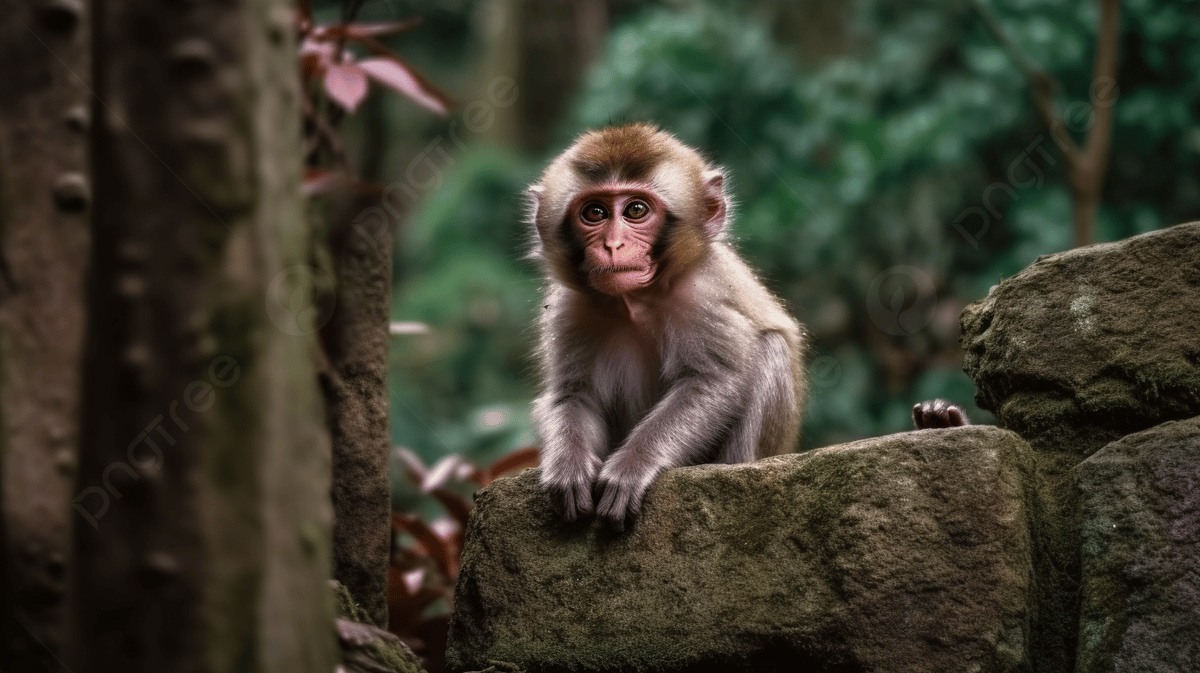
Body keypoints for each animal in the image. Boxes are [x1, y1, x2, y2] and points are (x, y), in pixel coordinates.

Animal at [527, 123, 806, 531]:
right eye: (594, 212)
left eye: (636, 210)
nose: (613, 245)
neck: (637, 300)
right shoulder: (569, 309)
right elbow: (573, 393)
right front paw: (569, 467)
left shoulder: (704, 294)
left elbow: (714, 380)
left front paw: (632, 466)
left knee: (771, 348)